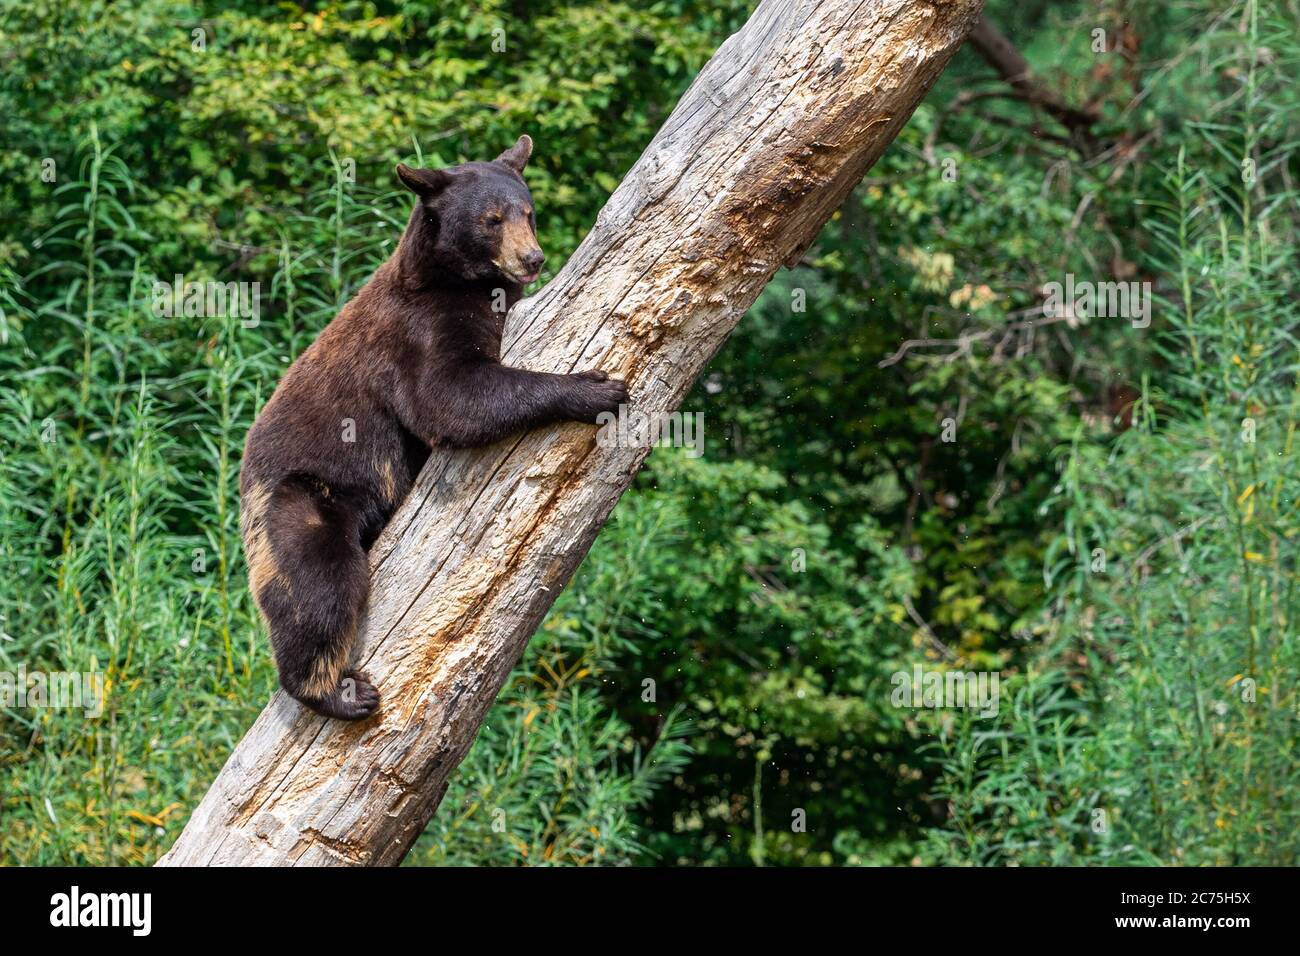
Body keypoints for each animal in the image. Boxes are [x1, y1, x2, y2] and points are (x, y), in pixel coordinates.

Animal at [239, 135, 628, 720]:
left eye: (528, 212)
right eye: (491, 219)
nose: (531, 258)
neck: (456, 282)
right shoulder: (415, 332)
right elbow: (451, 398)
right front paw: (596, 388)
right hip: (302, 497)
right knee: (323, 583)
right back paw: (338, 691)